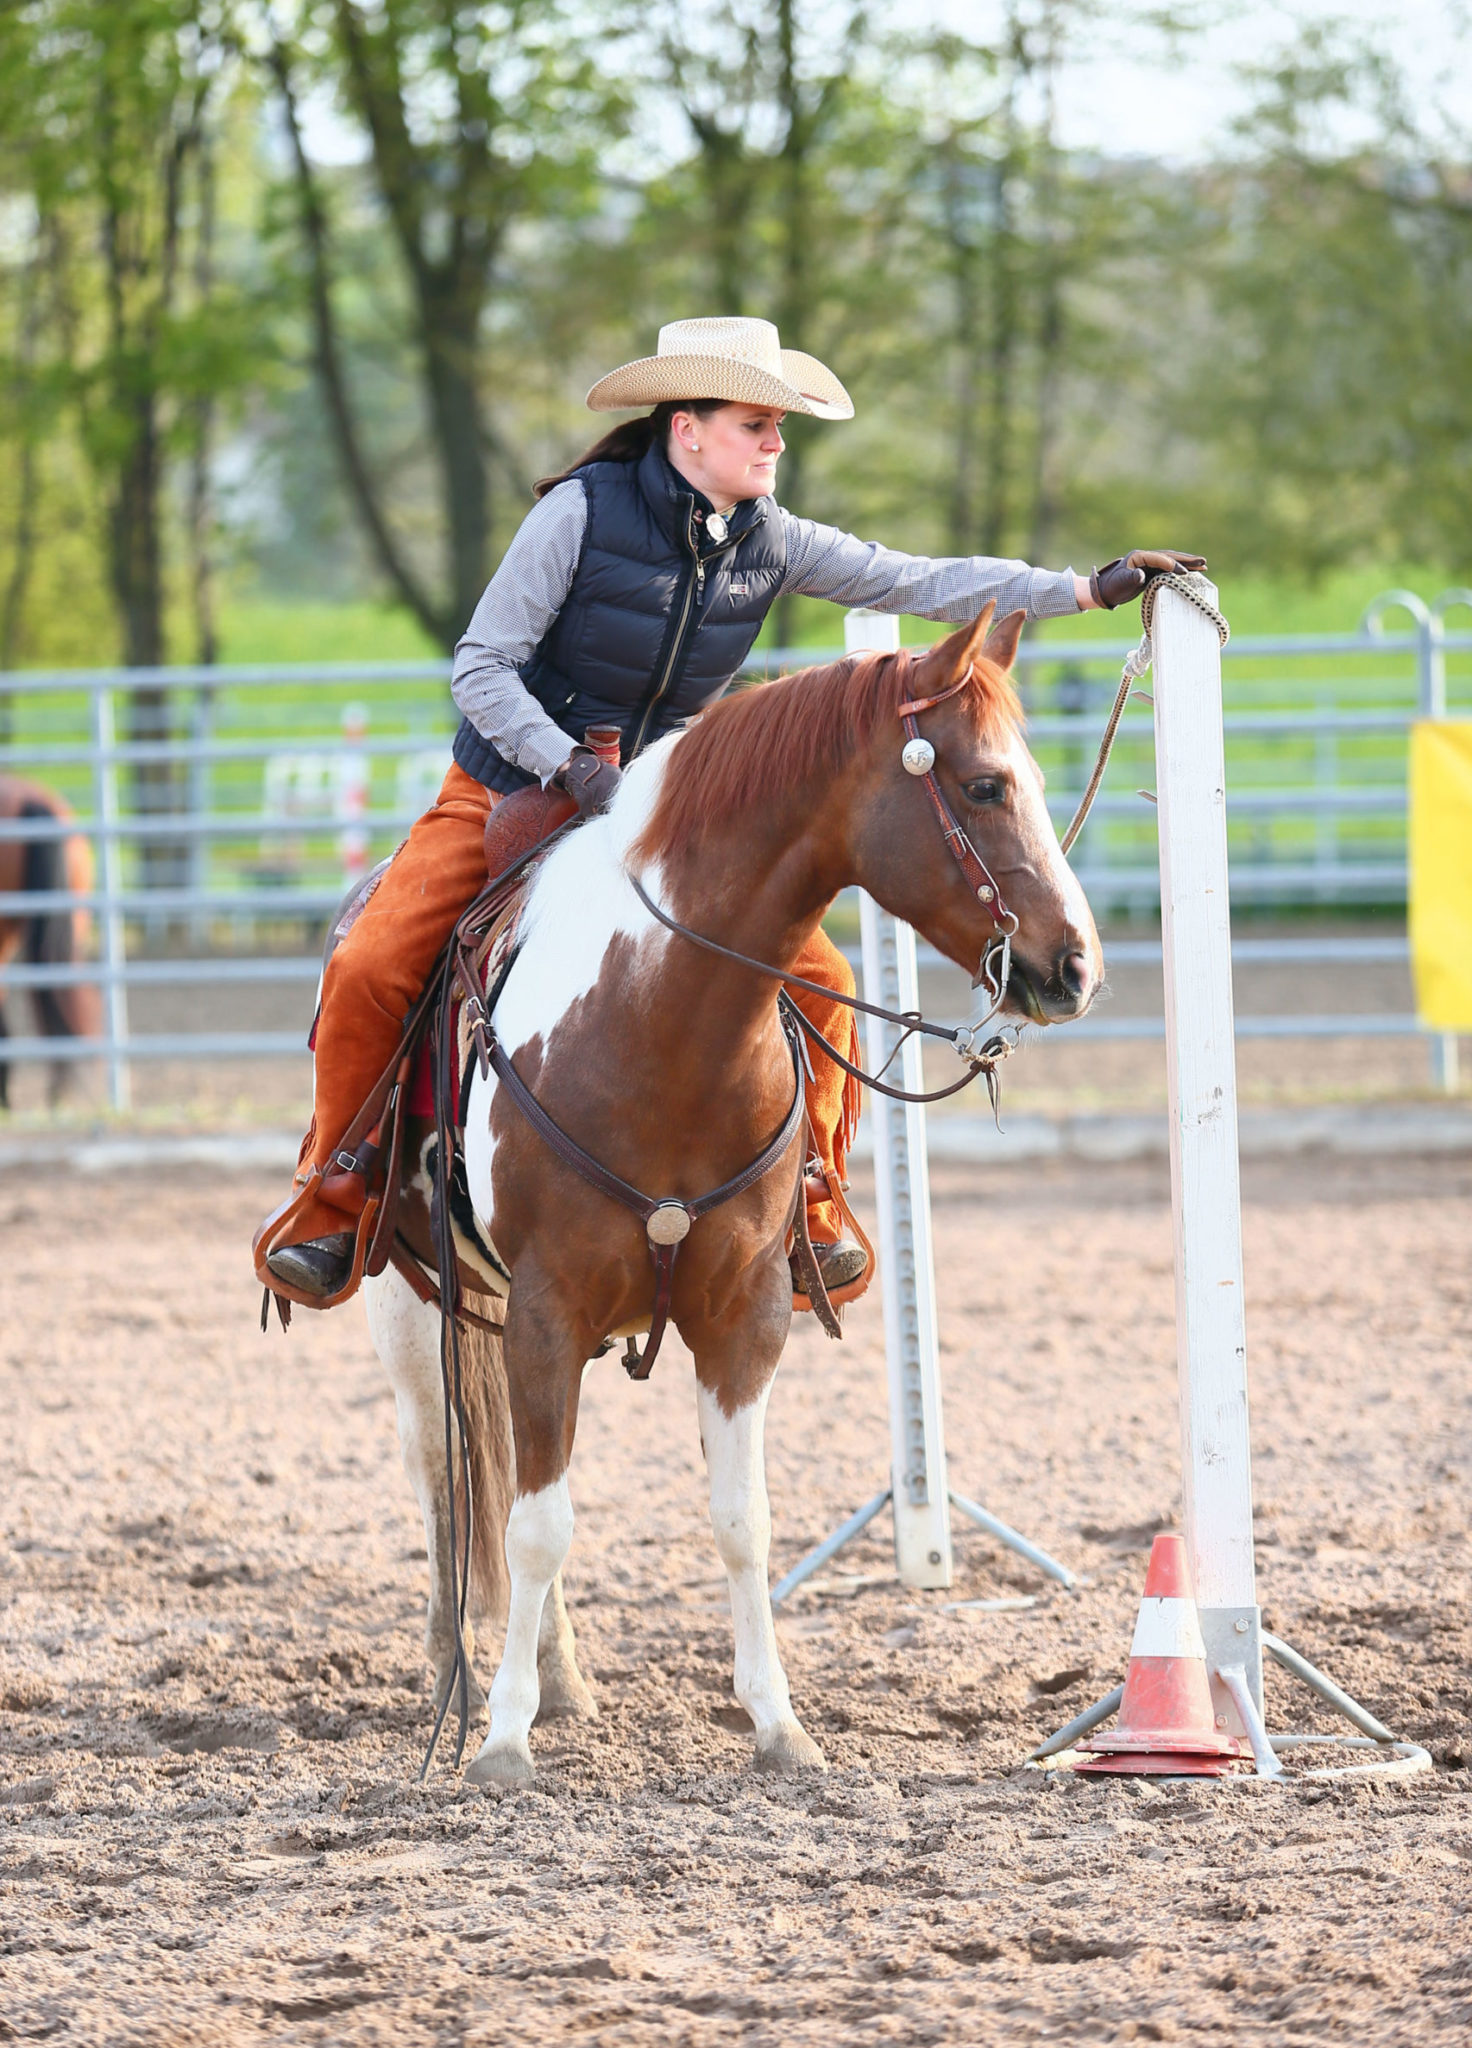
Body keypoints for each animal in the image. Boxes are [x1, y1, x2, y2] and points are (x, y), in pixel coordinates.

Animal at [362, 603, 1104, 1785]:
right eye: (986, 785)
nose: (1074, 967)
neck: (658, 1014)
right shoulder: (546, 1310)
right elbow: (533, 1523)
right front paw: (502, 1738)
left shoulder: (744, 1309)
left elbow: (737, 1518)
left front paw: (776, 1723)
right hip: (410, 1303)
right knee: (443, 1471)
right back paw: (452, 1676)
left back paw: (564, 1679)